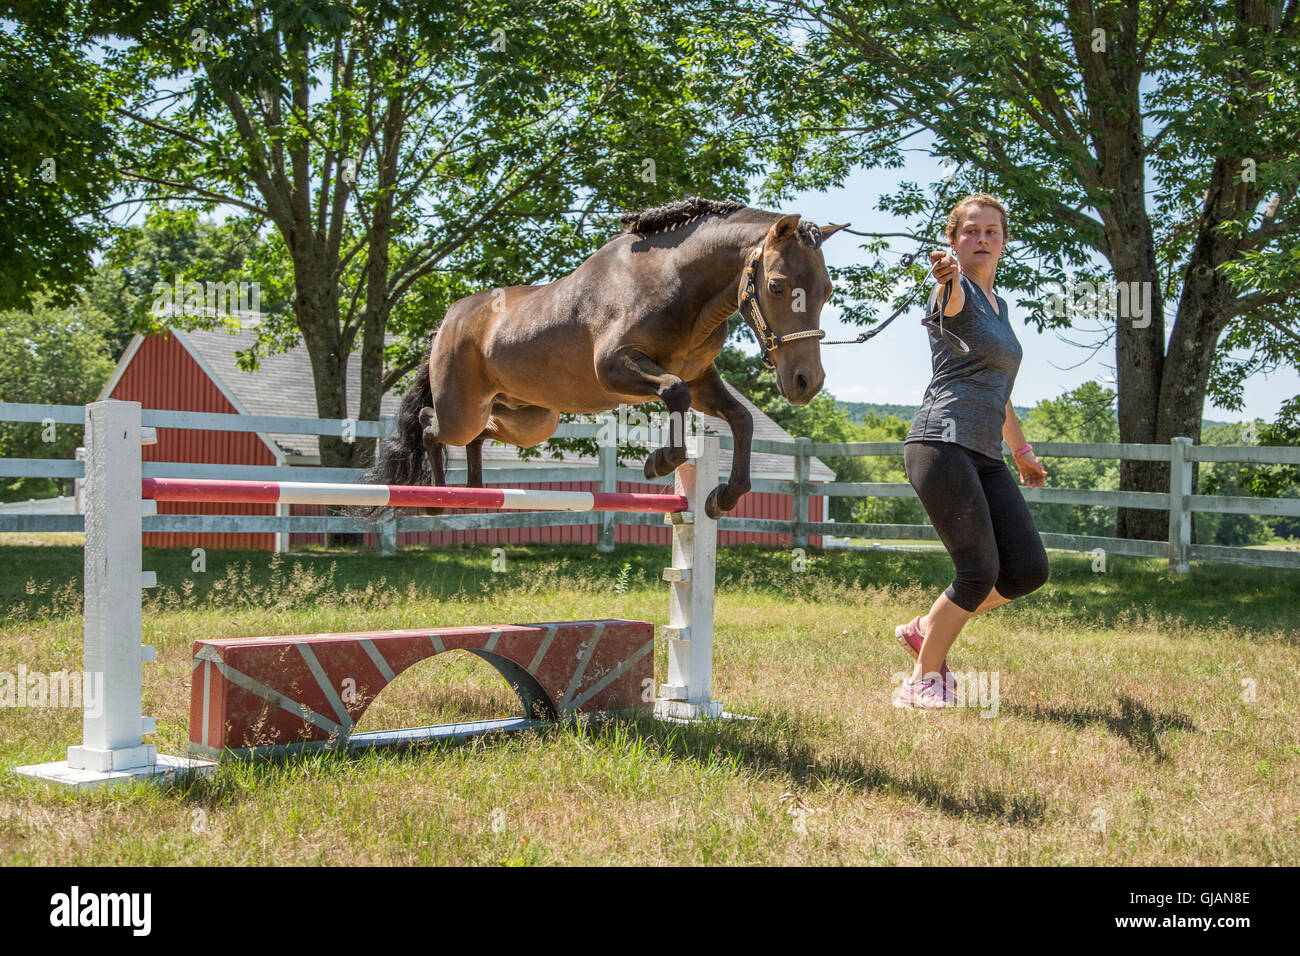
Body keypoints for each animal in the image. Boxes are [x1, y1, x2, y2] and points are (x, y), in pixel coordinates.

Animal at [362, 196, 847, 519]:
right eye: (778, 286)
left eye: (826, 290)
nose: (806, 382)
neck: (679, 287)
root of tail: (447, 321)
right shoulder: (615, 368)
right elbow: (674, 394)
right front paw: (660, 462)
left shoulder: (701, 378)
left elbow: (740, 419)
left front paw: (723, 496)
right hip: (462, 408)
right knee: (430, 424)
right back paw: (436, 500)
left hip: (530, 419)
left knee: (480, 434)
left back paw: (475, 492)